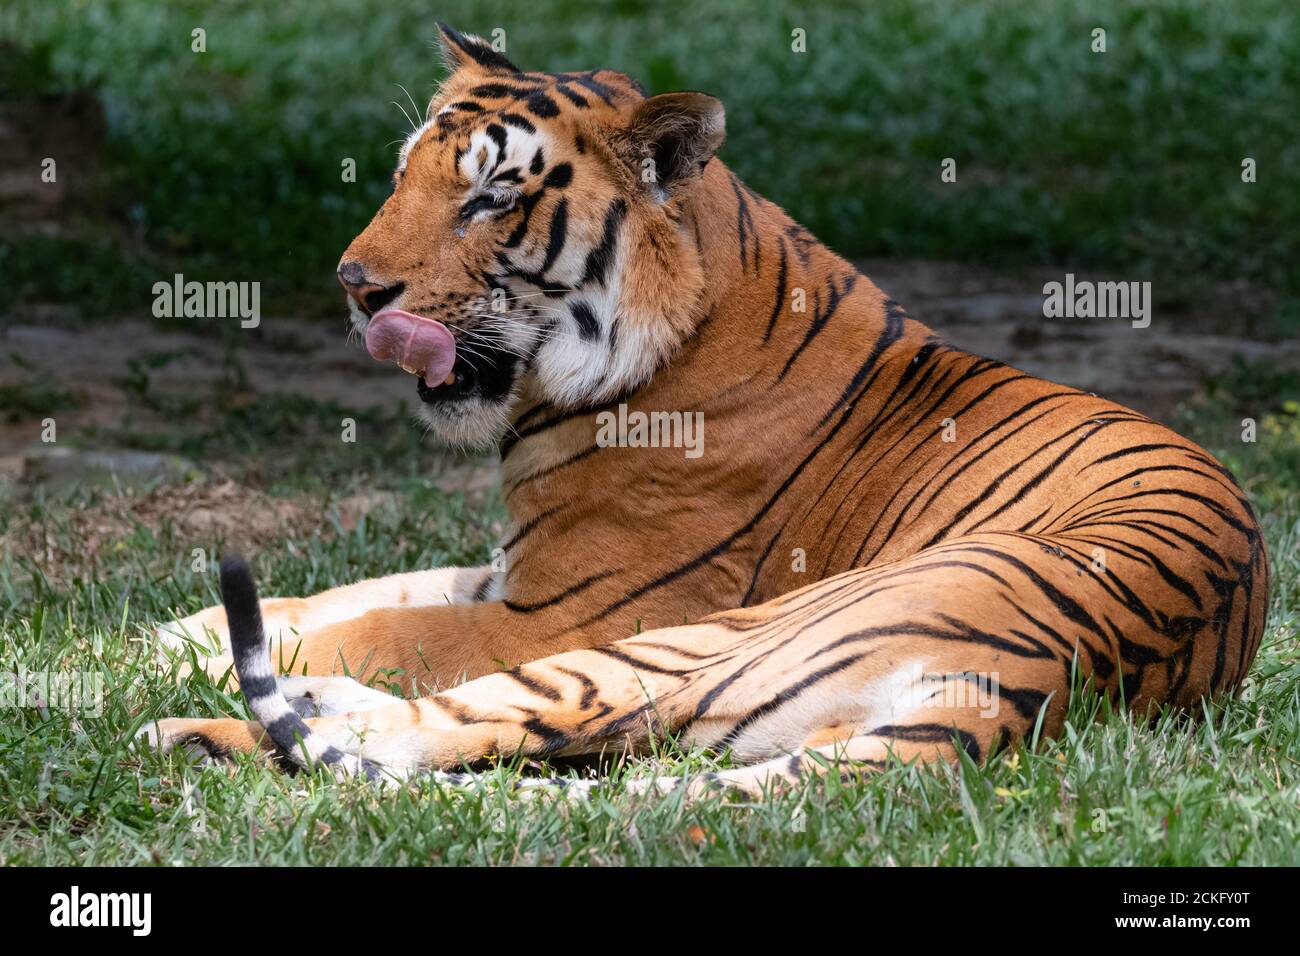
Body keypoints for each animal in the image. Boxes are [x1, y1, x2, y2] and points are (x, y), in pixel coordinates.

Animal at [142, 24, 1270, 795]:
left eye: (491, 197)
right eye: (401, 174)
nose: (354, 287)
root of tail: (1031, 679)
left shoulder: (561, 607)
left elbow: (372, 625)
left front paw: (131, 661)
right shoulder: (509, 566)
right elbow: (341, 594)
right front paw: (156, 635)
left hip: (687, 642)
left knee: (416, 733)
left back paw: (181, 732)